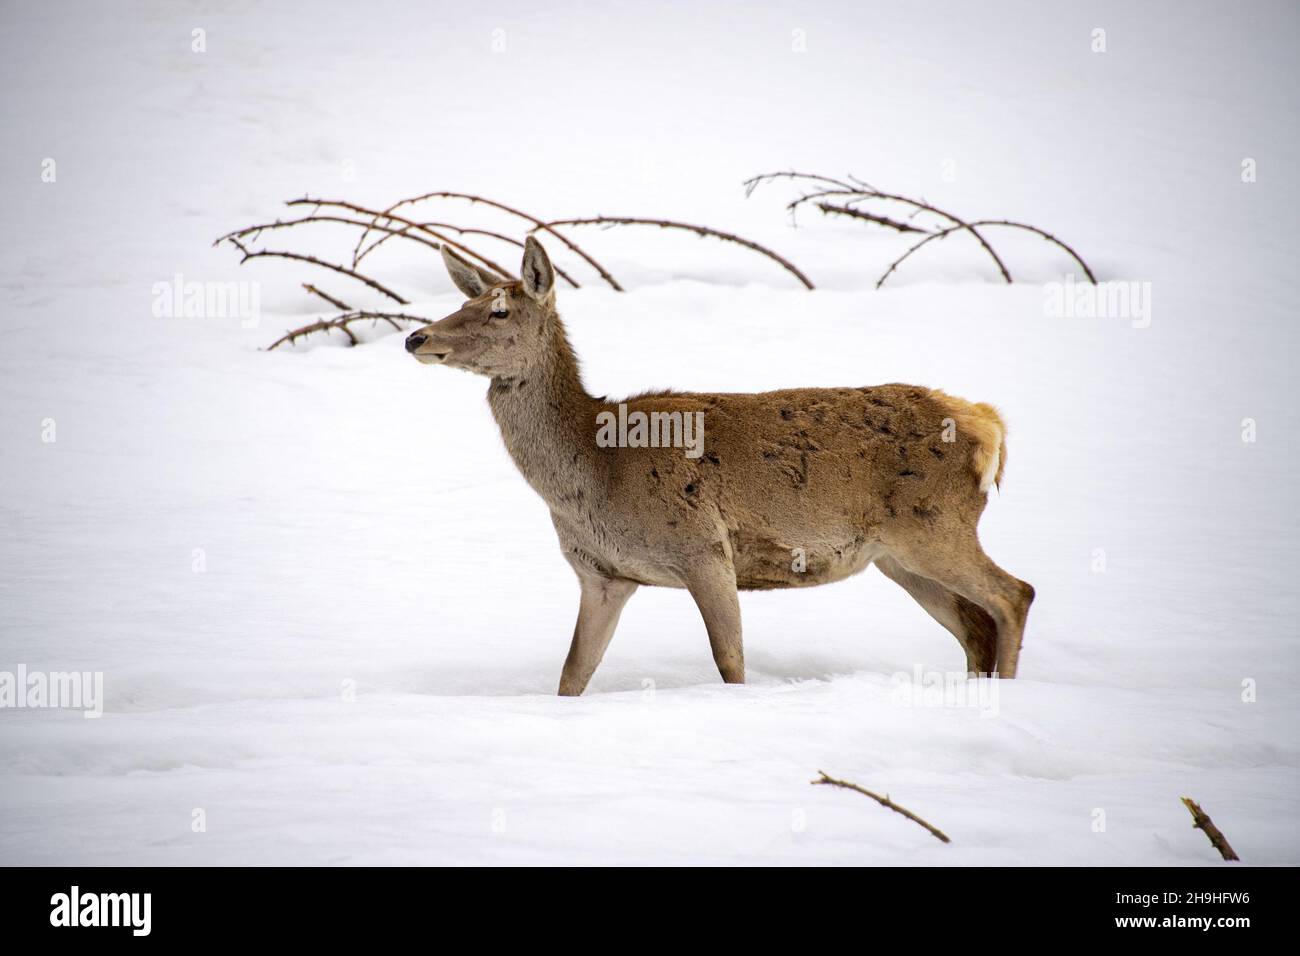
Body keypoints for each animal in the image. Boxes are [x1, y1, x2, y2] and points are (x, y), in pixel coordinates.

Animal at [405, 237, 1035, 696]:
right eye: (461, 302)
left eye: (498, 310)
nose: (416, 336)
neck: (592, 472)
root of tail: (989, 426)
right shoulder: (603, 575)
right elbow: (572, 673)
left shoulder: (704, 548)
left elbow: (730, 662)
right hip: (897, 556)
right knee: (976, 625)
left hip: (934, 525)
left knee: (1014, 595)